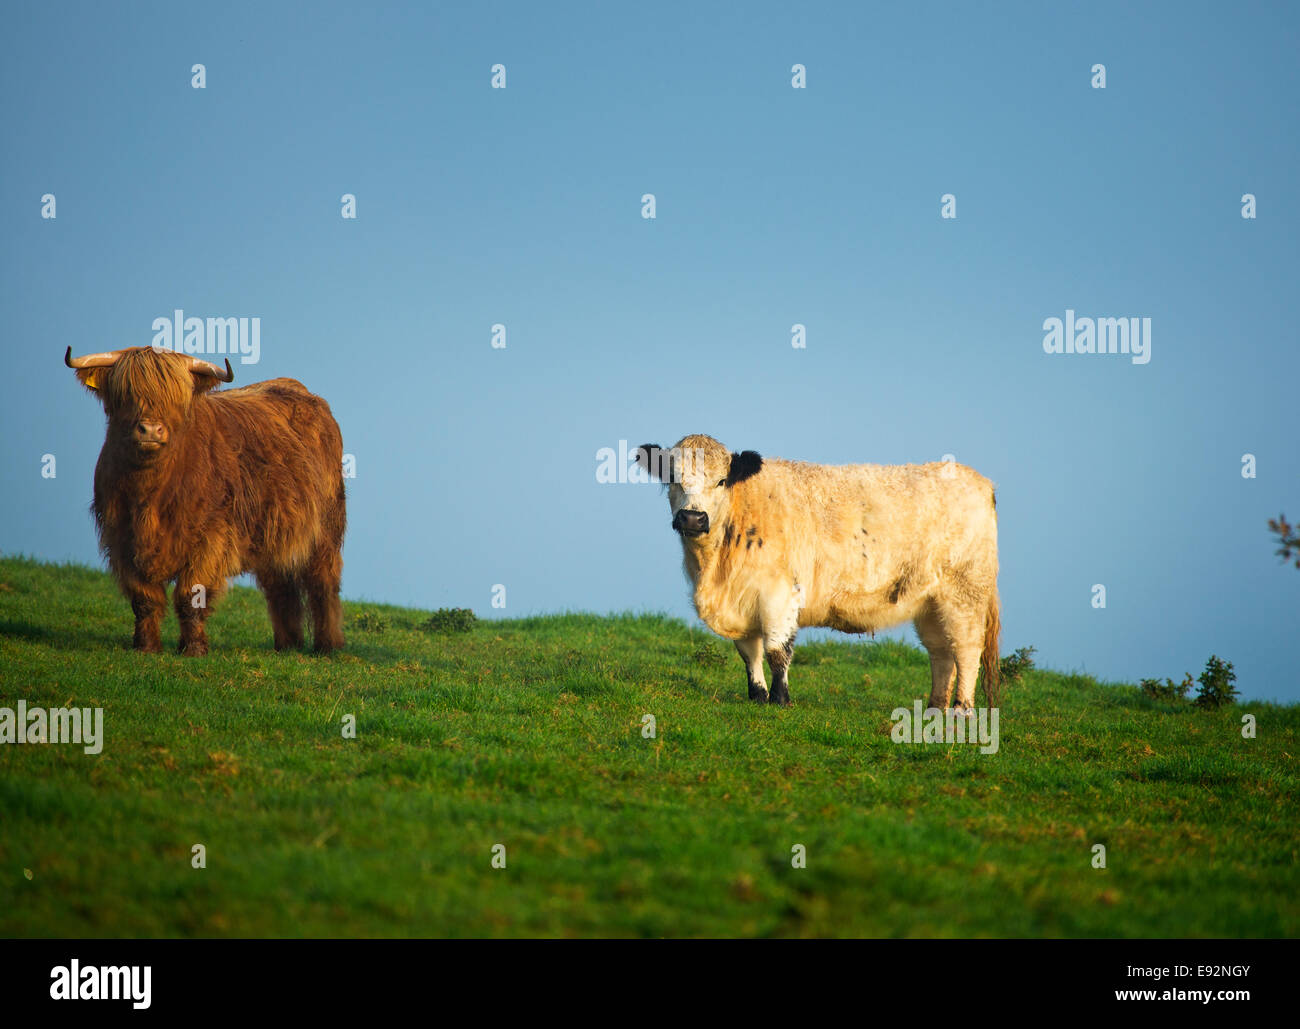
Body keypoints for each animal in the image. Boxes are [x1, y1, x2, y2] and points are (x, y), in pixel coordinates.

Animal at [64, 346, 346, 656]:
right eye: (125, 394)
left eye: (177, 399)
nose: (150, 430)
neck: (150, 496)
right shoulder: (120, 538)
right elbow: (143, 598)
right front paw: (146, 646)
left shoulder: (212, 537)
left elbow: (192, 594)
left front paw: (194, 648)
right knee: (280, 587)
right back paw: (287, 645)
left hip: (325, 530)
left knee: (323, 582)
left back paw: (328, 646)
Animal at [635, 435, 1000, 709]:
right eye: (672, 478)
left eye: (721, 480)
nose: (693, 518)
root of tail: (975, 479)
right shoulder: (743, 600)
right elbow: (749, 653)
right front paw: (758, 696)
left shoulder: (779, 595)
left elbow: (777, 651)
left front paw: (781, 700)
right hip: (930, 603)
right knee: (942, 653)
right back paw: (935, 710)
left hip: (965, 591)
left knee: (967, 649)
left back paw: (961, 711)